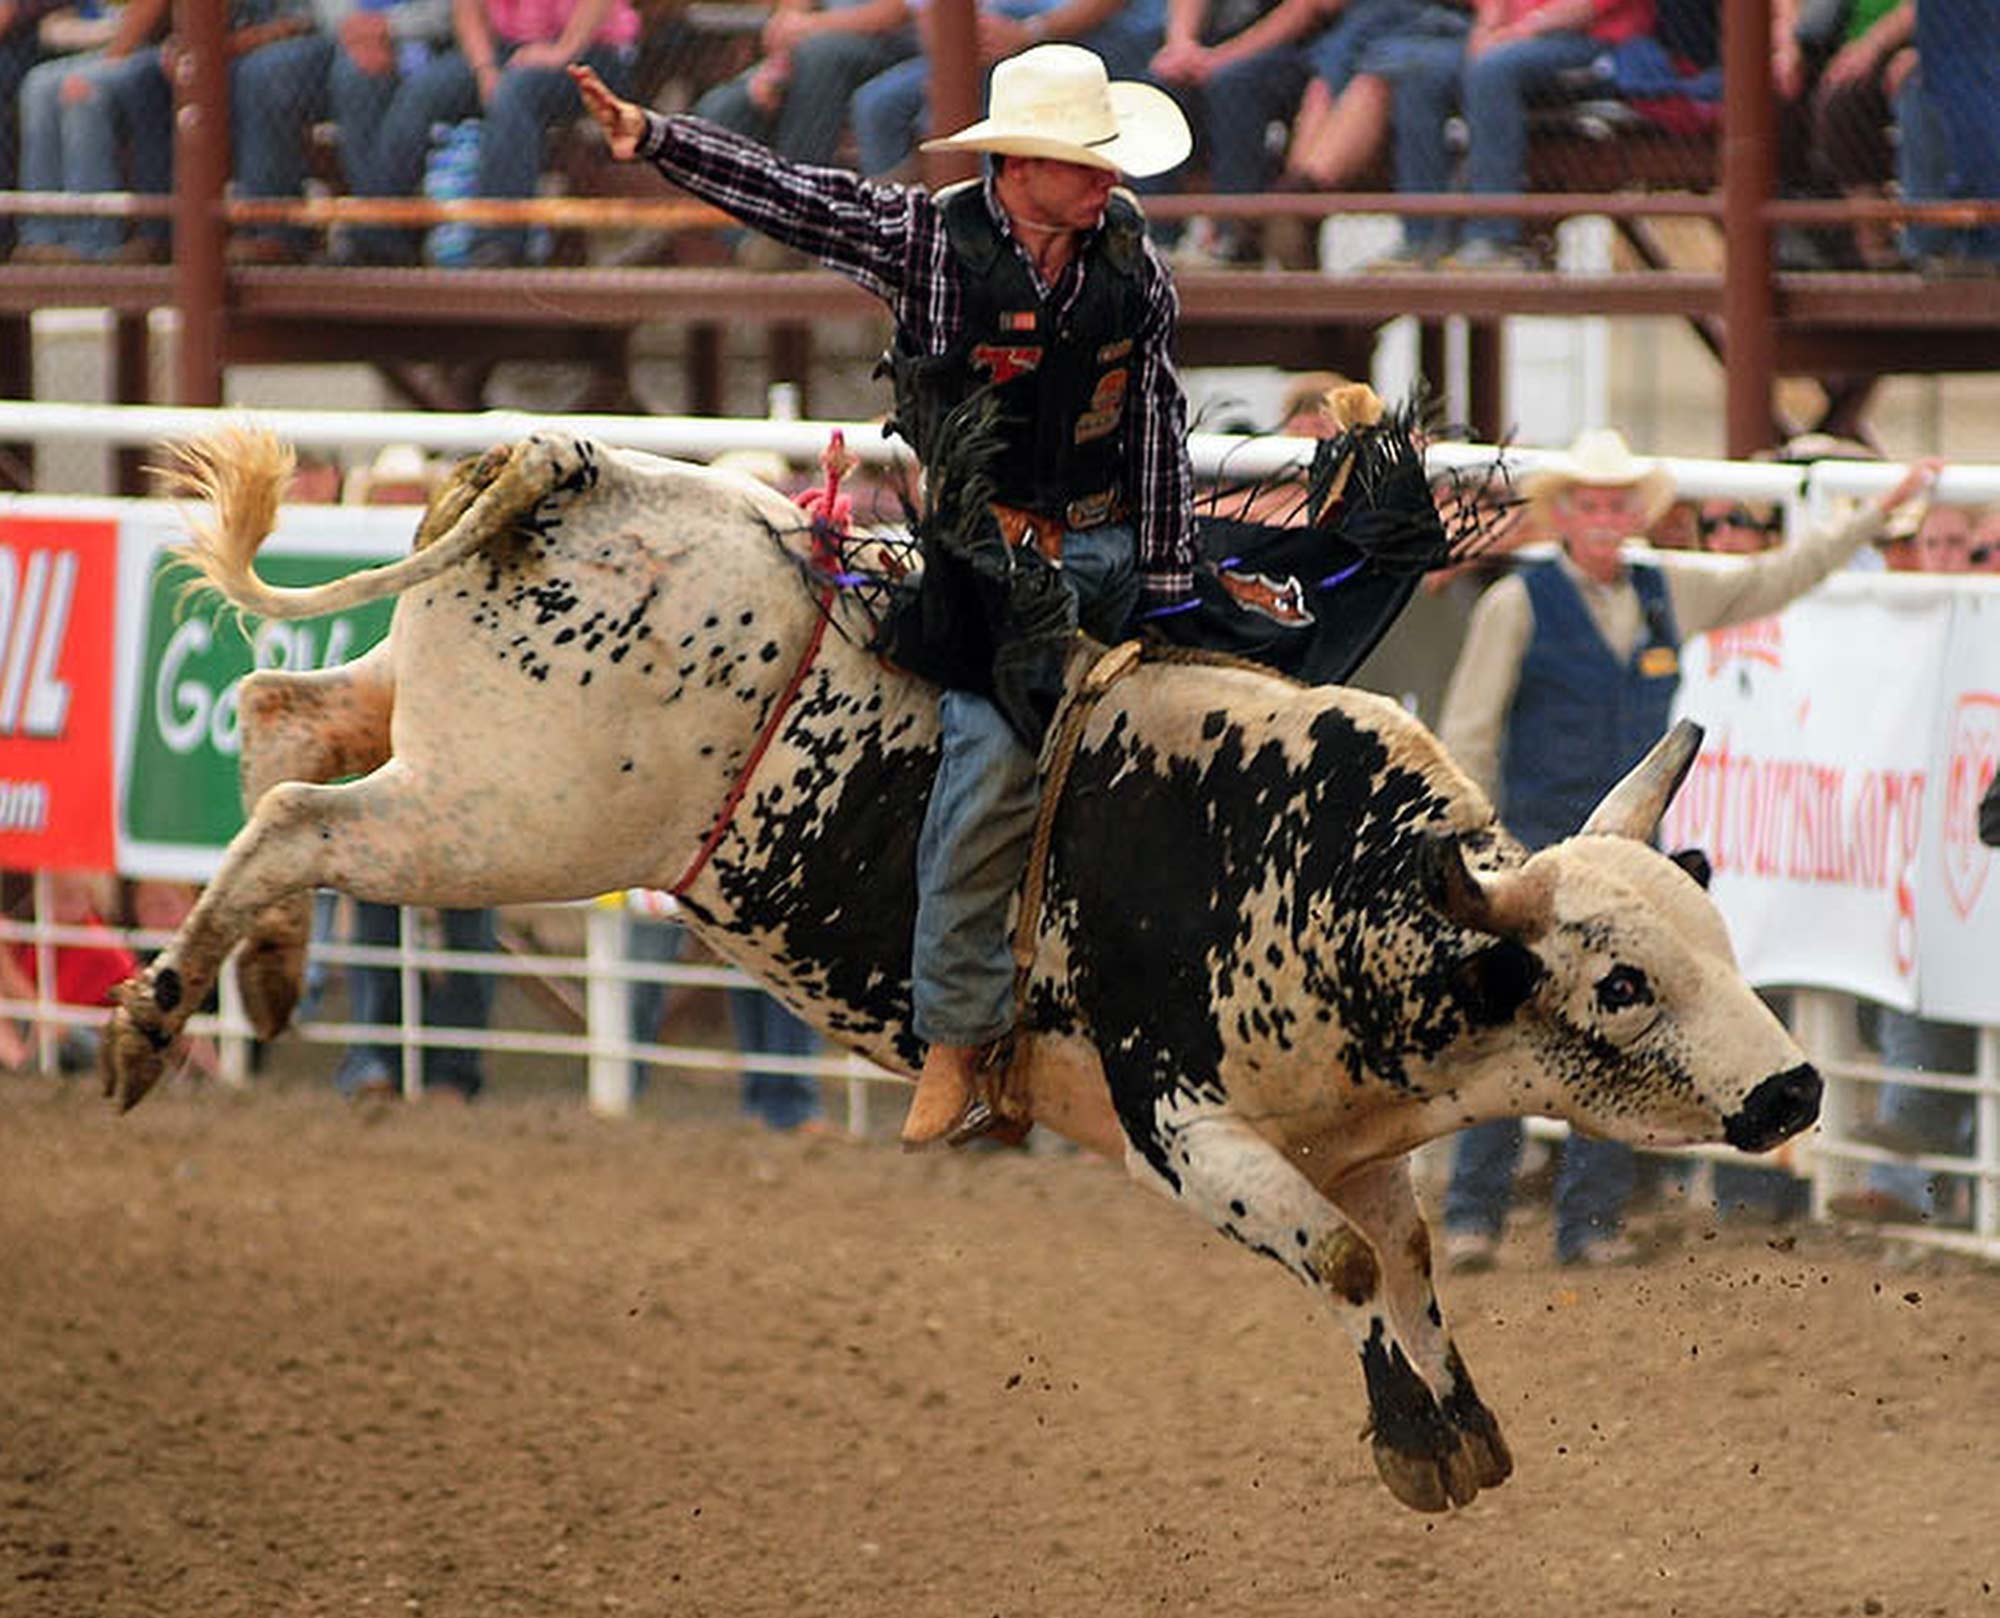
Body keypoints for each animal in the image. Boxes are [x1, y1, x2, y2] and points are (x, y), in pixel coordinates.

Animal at [101, 428, 1822, 1515]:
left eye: (1720, 944)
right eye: (1620, 983)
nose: (1798, 1085)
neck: (1324, 871)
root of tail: (570, 464)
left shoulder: (1345, 1137)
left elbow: (1400, 1257)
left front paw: (1457, 1421)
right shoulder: (1178, 1122)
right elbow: (1337, 1262)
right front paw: (1411, 1437)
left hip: (445, 742)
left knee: (278, 715)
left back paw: (252, 987)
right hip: (505, 817)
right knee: (298, 817)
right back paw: (149, 1019)